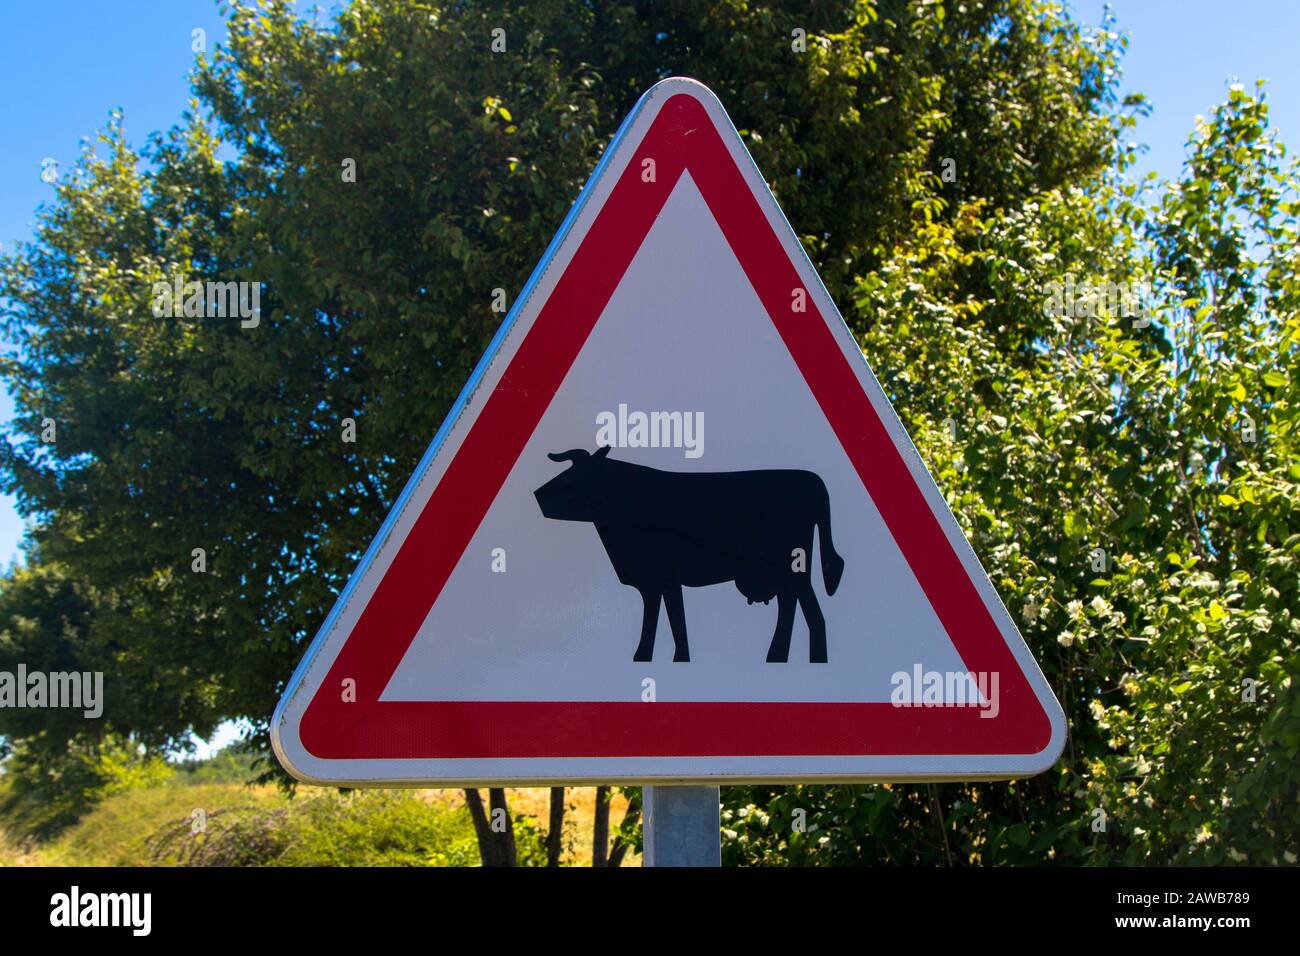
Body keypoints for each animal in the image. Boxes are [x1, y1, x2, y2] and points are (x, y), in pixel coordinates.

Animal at [533, 446, 845, 663]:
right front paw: (647, 657)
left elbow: (674, 619)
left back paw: (787, 656)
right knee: (799, 607)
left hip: (791, 569)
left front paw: (670, 657)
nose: (537, 495)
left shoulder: (666, 576)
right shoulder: (653, 580)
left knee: (799, 608)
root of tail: (812, 481)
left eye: (574, 477)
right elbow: (661, 617)